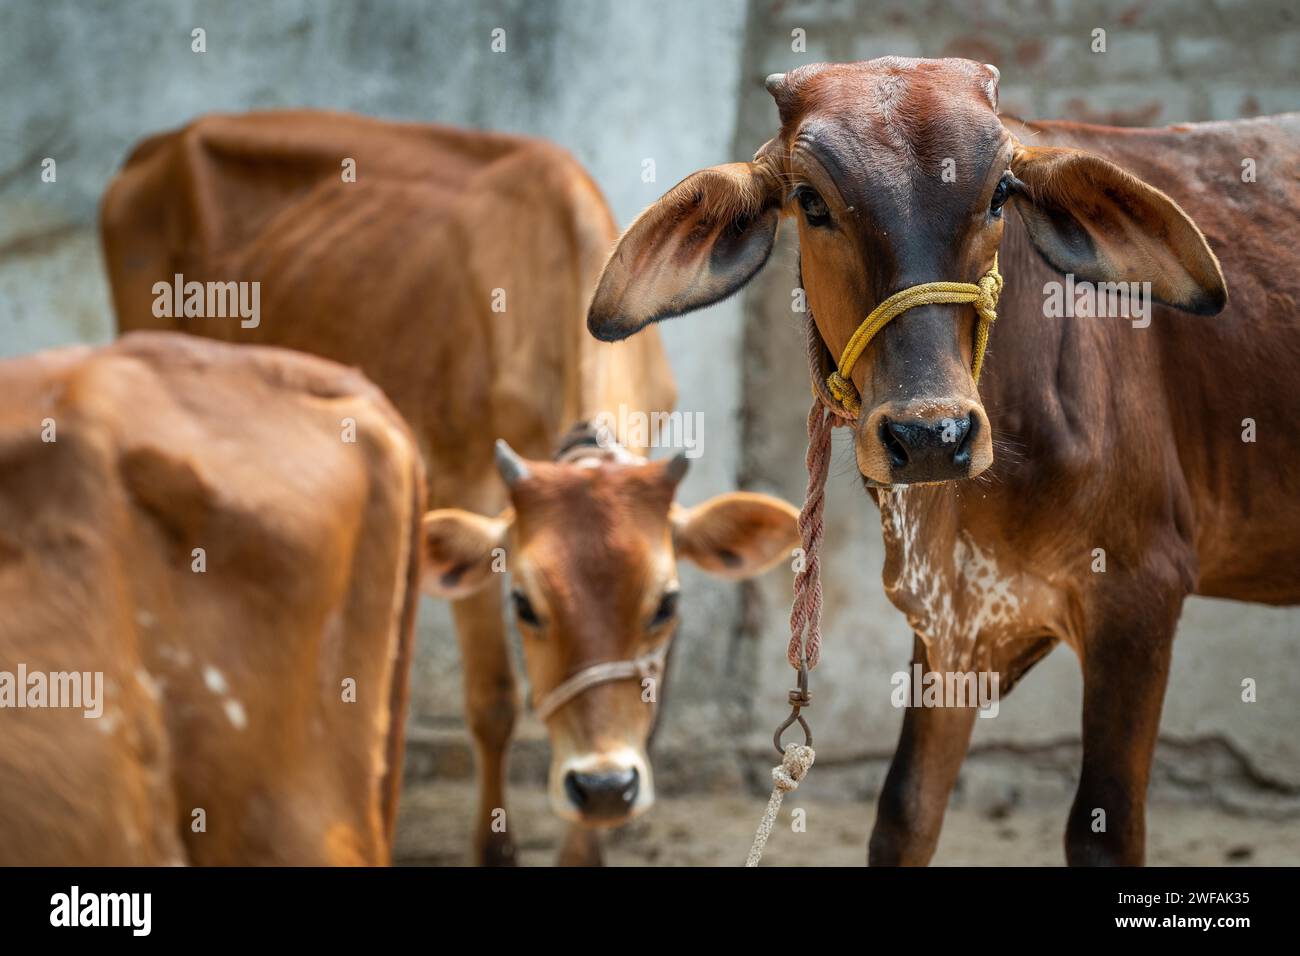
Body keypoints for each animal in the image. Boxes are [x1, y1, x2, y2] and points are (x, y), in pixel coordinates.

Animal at [100, 111, 801, 865]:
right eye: (524, 604)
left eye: (666, 603)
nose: (603, 785)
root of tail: (159, 145)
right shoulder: (472, 495)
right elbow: (492, 701)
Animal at [586, 57, 1300, 866]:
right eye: (811, 201)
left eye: (999, 195)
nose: (932, 435)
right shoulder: (948, 628)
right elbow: (905, 813)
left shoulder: (1142, 592)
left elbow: (1106, 828)